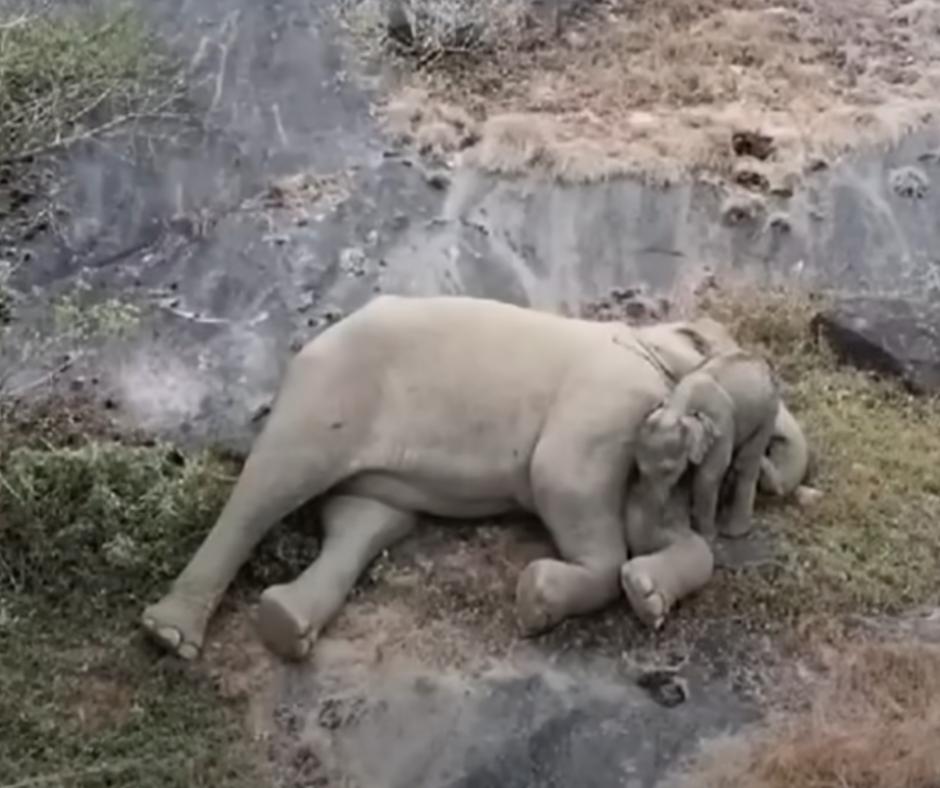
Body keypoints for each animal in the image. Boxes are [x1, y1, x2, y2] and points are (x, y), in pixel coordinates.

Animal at [633, 351, 780, 541]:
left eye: (668, 470)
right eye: (639, 468)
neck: (678, 406)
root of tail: (760, 360)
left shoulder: (722, 425)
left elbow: (707, 476)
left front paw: (708, 536)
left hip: (768, 413)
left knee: (746, 463)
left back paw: (734, 532)